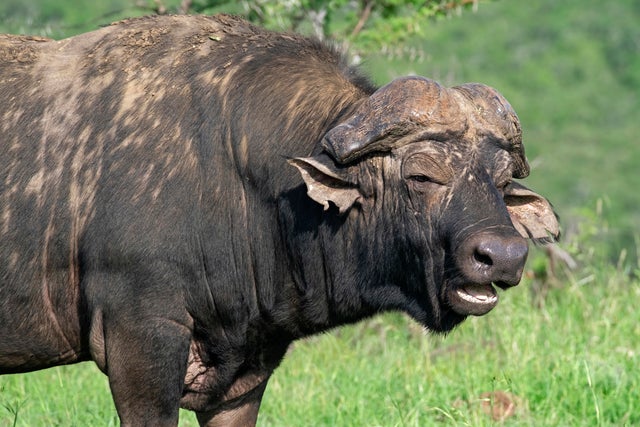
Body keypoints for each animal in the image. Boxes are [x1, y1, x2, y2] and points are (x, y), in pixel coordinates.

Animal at [0, 14, 559, 426]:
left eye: (500, 182)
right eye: (421, 174)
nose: (503, 255)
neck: (235, 180)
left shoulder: (243, 377)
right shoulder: (139, 343)